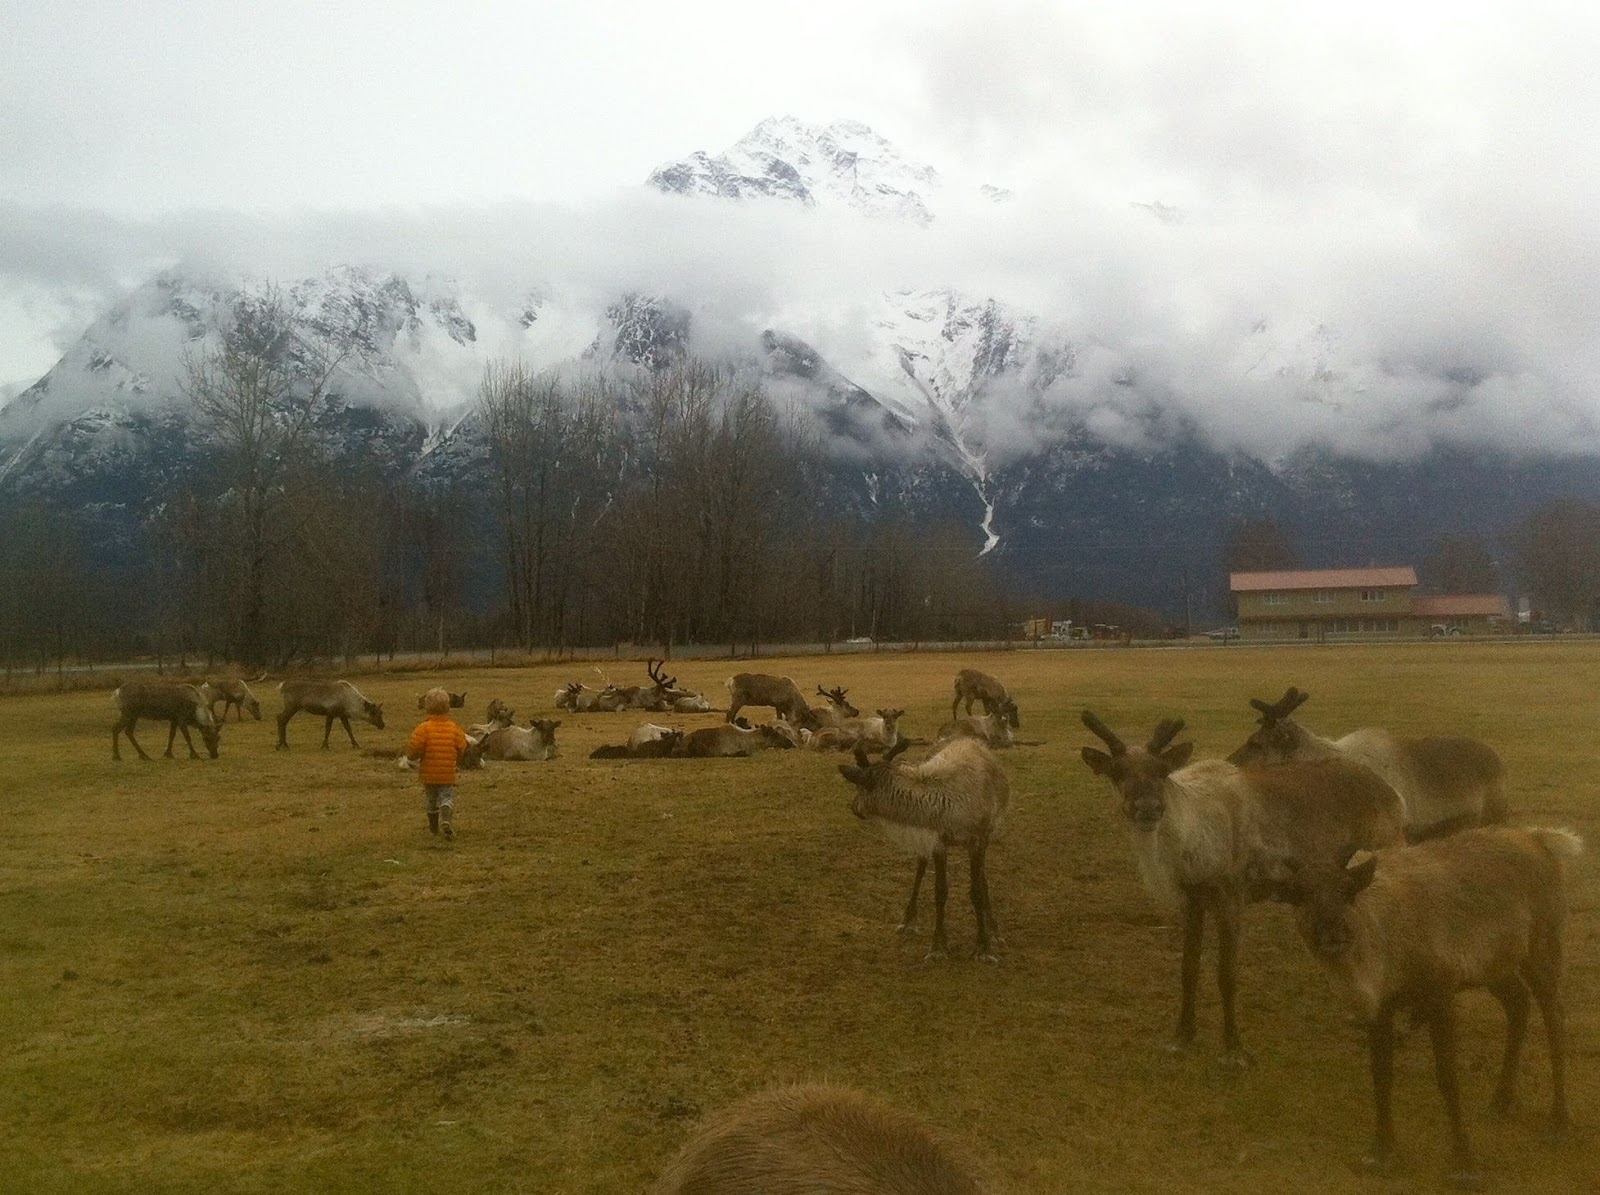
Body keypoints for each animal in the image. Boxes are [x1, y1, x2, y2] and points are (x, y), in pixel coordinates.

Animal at [838, 736, 1010, 962]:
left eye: (858, 787)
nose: (854, 808)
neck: (949, 806)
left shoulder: (978, 839)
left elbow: (977, 891)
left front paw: (984, 947)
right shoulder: (937, 841)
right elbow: (940, 891)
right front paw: (938, 946)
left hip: (986, 836)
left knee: (982, 878)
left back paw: (994, 930)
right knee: (920, 869)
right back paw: (908, 920)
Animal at [1080, 710, 1407, 1066]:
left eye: (1162, 770)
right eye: (1116, 771)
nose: (1148, 808)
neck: (1191, 842)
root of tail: (1396, 797)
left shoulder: (1231, 895)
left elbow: (1226, 975)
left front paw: (1234, 1049)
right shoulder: (1191, 899)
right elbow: (1188, 968)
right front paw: (1181, 1037)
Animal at [1268, 827, 1582, 1189]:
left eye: (1347, 890)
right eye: (1298, 895)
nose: (1334, 934)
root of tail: (1539, 839)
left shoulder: (1440, 992)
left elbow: (1447, 1078)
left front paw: (1463, 1162)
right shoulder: (1380, 1008)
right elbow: (1381, 1074)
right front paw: (1382, 1151)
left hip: (1543, 944)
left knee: (1555, 1017)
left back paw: (1559, 1122)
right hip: (1494, 965)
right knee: (1518, 1003)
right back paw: (1501, 1102)